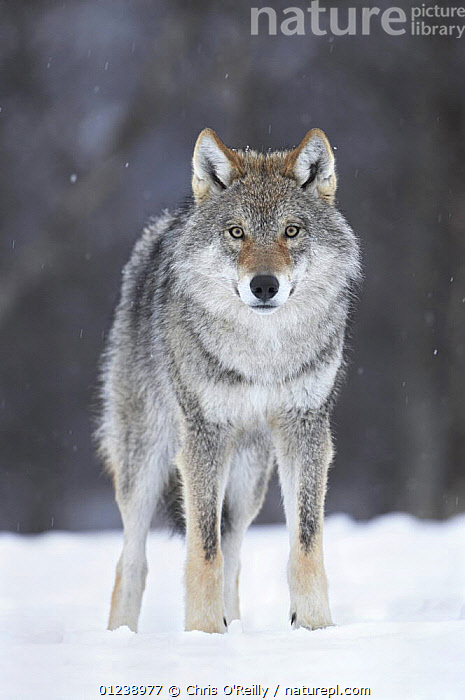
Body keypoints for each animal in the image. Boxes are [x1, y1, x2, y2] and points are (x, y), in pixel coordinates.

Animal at [97, 128, 360, 634]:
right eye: (237, 232)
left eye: (291, 231)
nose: (264, 285)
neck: (263, 354)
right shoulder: (204, 436)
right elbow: (202, 552)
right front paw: (202, 635)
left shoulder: (305, 429)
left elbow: (305, 544)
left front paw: (315, 629)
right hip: (148, 460)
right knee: (130, 562)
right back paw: (121, 637)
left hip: (247, 481)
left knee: (235, 556)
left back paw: (234, 626)